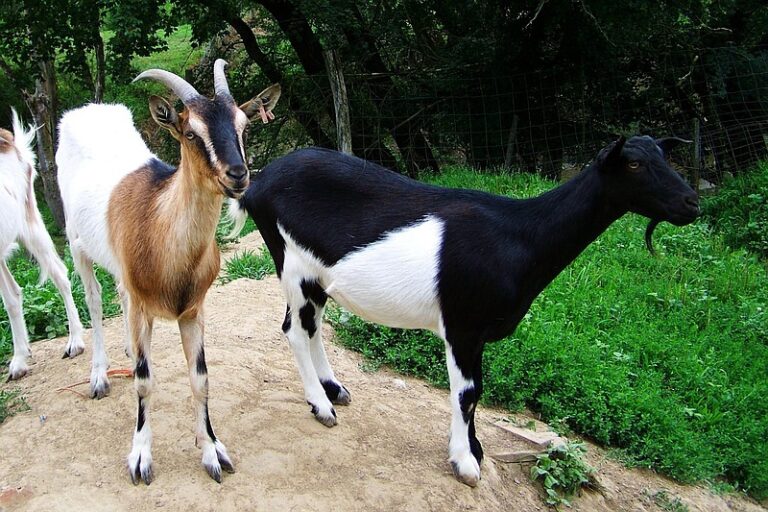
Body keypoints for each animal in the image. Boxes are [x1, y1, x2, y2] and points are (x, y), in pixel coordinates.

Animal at [55, 60, 280, 484]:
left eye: (244, 126)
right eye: (190, 132)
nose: (237, 174)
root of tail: (88, 110)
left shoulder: (193, 310)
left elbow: (201, 378)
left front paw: (212, 450)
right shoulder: (145, 307)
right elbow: (144, 381)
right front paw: (140, 457)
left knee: (119, 295)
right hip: (76, 244)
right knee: (94, 300)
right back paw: (99, 376)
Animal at [227, 137, 700, 486]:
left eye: (664, 156)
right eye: (634, 165)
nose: (691, 203)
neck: (519, 236)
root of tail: (259, 184)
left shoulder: (478, 333)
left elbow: (478, 392)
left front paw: (476, 451)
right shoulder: (463, 326)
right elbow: (468, 393)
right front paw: (465, 463)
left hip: (319, 277)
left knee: (311, 326)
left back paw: (334, 390)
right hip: (292, 265)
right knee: (294, 328)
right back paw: (321, 407)